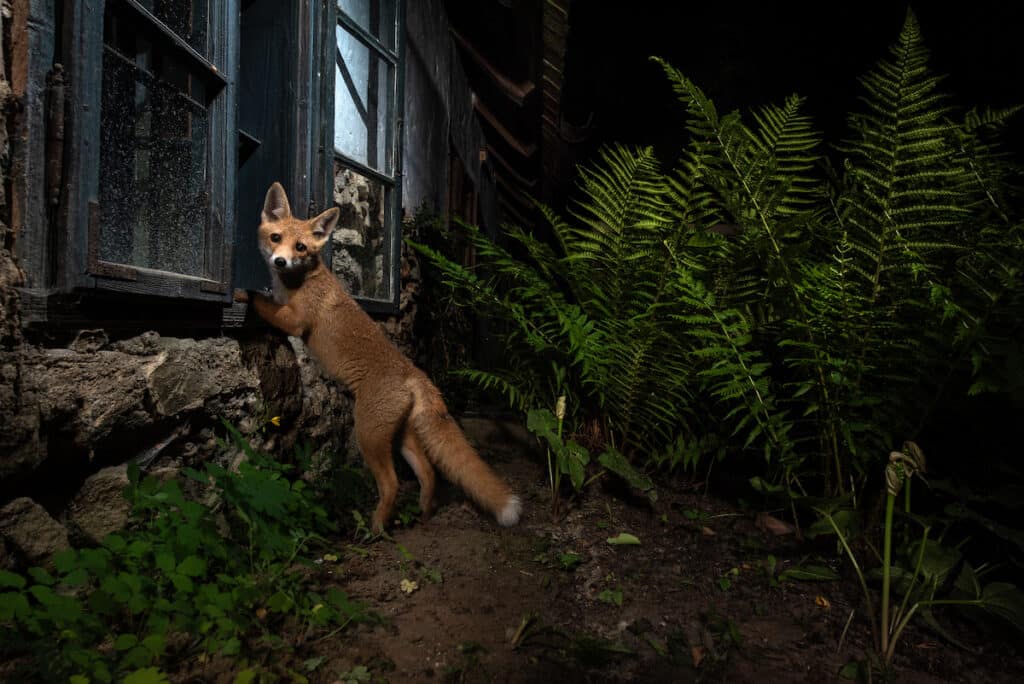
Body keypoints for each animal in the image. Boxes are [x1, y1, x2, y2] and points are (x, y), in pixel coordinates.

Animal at [239, 182, 522, 533]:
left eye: (301, 247)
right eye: (276, 238)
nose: (280, 261)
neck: (301, 280)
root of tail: (415, 374)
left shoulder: (296, 320)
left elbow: (263, 304)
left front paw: (242, 293)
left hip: (369, 436)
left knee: (392, 483)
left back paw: (374, 528)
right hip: (401, 437)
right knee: (428, 473)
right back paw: (423, 514)